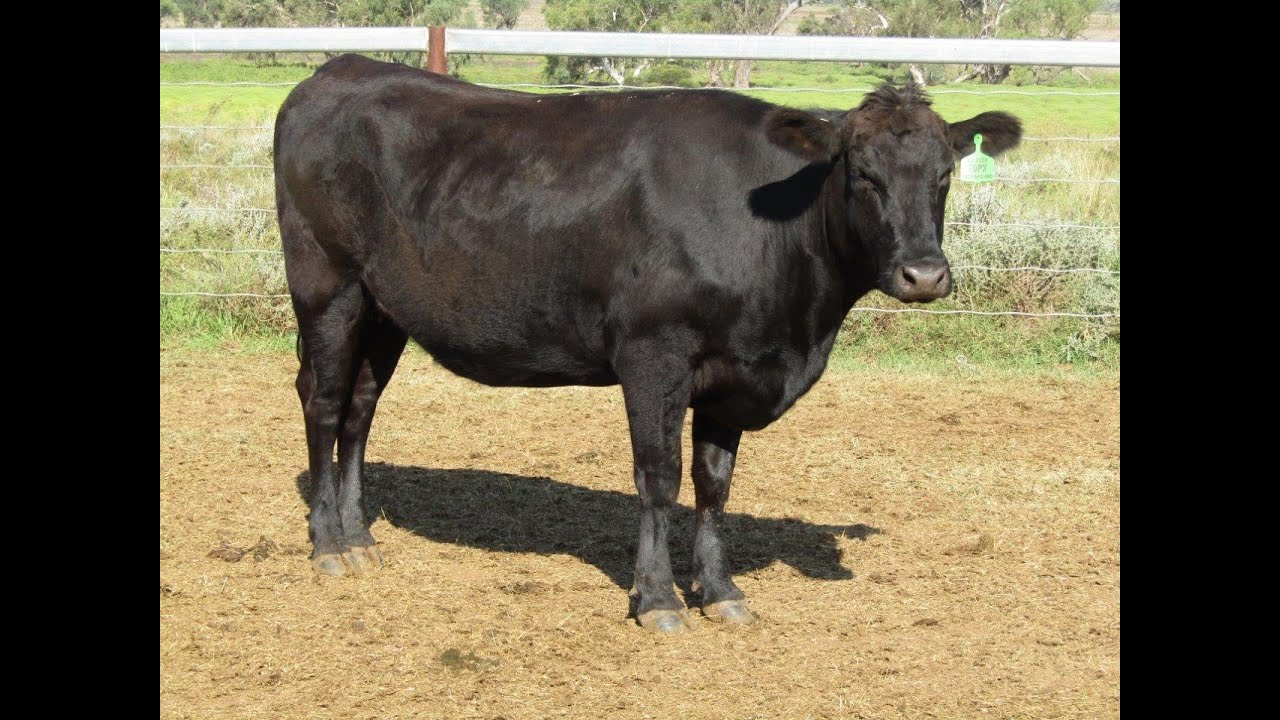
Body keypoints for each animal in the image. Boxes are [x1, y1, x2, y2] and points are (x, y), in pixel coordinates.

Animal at [274, 54, 1022, 633]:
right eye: (861, 173)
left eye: (945, 176)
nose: (924, 274)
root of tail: (342, 69)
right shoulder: (653, 355)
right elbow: (659, 476)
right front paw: (658, 598)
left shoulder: (734, 371)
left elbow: (715, 485)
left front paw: (720, 592)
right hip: (326, 284)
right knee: (324, 402)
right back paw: (327, 544)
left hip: (384, 309)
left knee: (360, 410)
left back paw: (360, 537)